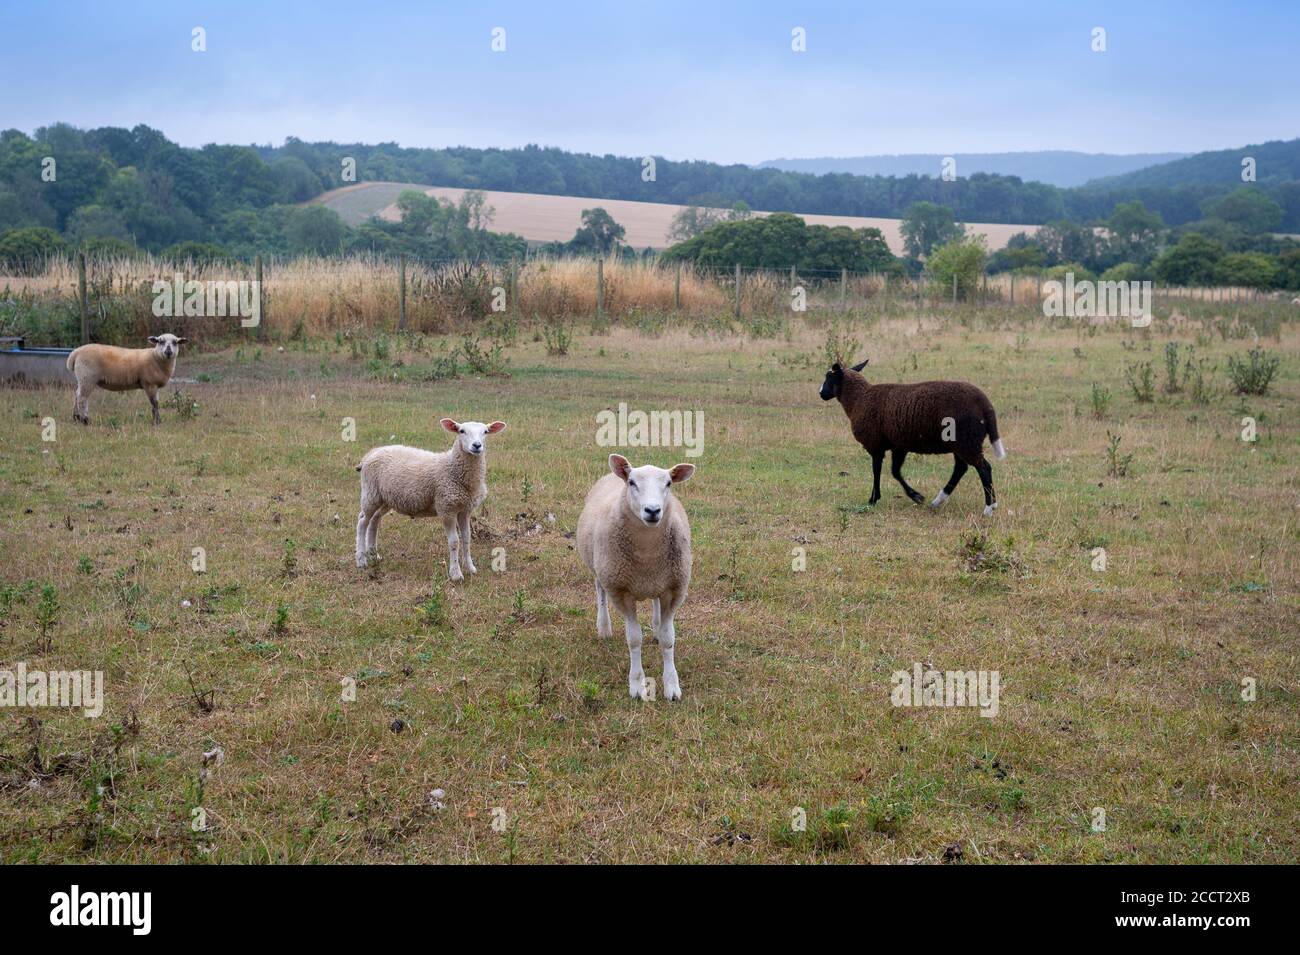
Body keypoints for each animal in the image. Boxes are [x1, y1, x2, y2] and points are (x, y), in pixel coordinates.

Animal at [355, 418, 506, 581]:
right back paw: (361, 560)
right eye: (461, 431)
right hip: (370, 492)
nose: (477, 445)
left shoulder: (465, 509)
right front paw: (456, 574)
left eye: (485, 432)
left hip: (384, 498)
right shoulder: (446, 507)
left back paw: (373, 555)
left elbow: (466, 538)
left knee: (374, 520)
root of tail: (371, 453)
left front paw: (470, 567)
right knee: (362, 521)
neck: (453, 468)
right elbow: (454, 542)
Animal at [576, 454, 695, 701]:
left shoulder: (674, 589)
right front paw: (637, 685)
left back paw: (656, 627)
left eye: (668, 483)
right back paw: (604, 628)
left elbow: (669, 639)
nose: (653, 510)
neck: (647, 552)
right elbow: (634, 639)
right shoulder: (621, 592)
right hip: (600, 568)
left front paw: (672, 686)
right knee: (600, 590)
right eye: (632, 483)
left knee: (655, 602)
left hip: (659, 581)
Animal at [820, 358, 1007, 516]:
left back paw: (989, 508)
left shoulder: (875, 444)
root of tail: (985, 404)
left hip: (967, 440)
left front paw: (874, 499)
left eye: (829, 377)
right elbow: (895, 471)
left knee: (984, 468)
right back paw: (938, 501)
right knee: (961, 468)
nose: (821, 393)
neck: (858, 399)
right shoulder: (898, 445)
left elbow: (877, 470)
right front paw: (916, 496)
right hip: (961, 443)